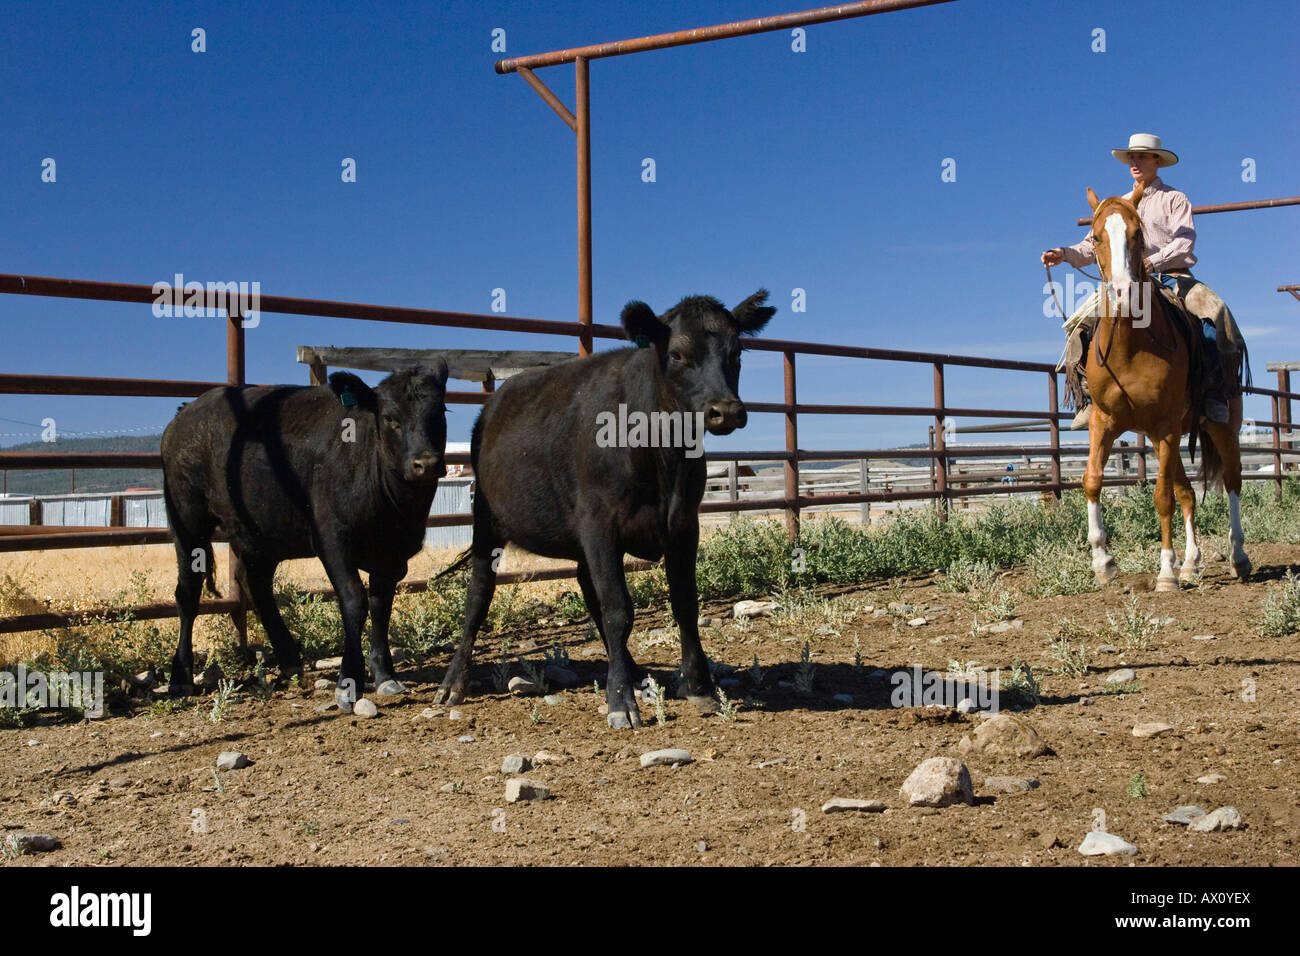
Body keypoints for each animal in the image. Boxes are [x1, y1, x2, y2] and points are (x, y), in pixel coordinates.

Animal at [161, 363, 450, 711]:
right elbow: (355, 601)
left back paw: (289, 661)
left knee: (256, 584)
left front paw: (384, 675)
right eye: (390, 417)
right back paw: (181, 677)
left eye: (439, 412)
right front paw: (348, 682)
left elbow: (381, 606)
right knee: (188, 592)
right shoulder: (332, 541)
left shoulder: (392, 553)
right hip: (187, 521)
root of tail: (185, 412)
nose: (426, 463)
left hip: (262, 534)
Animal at [433, 291, 775, 728]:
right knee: (479, 595)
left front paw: (700, 686)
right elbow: (618, 609)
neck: (662, 455)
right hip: (487, 523)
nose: (726, 410)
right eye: (677, 354)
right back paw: (453, 683)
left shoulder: (684, 524)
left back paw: (632, 670)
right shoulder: (600, 525)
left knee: (586, 587)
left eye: (737, 353)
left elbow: (684, 602)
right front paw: (620, 702)